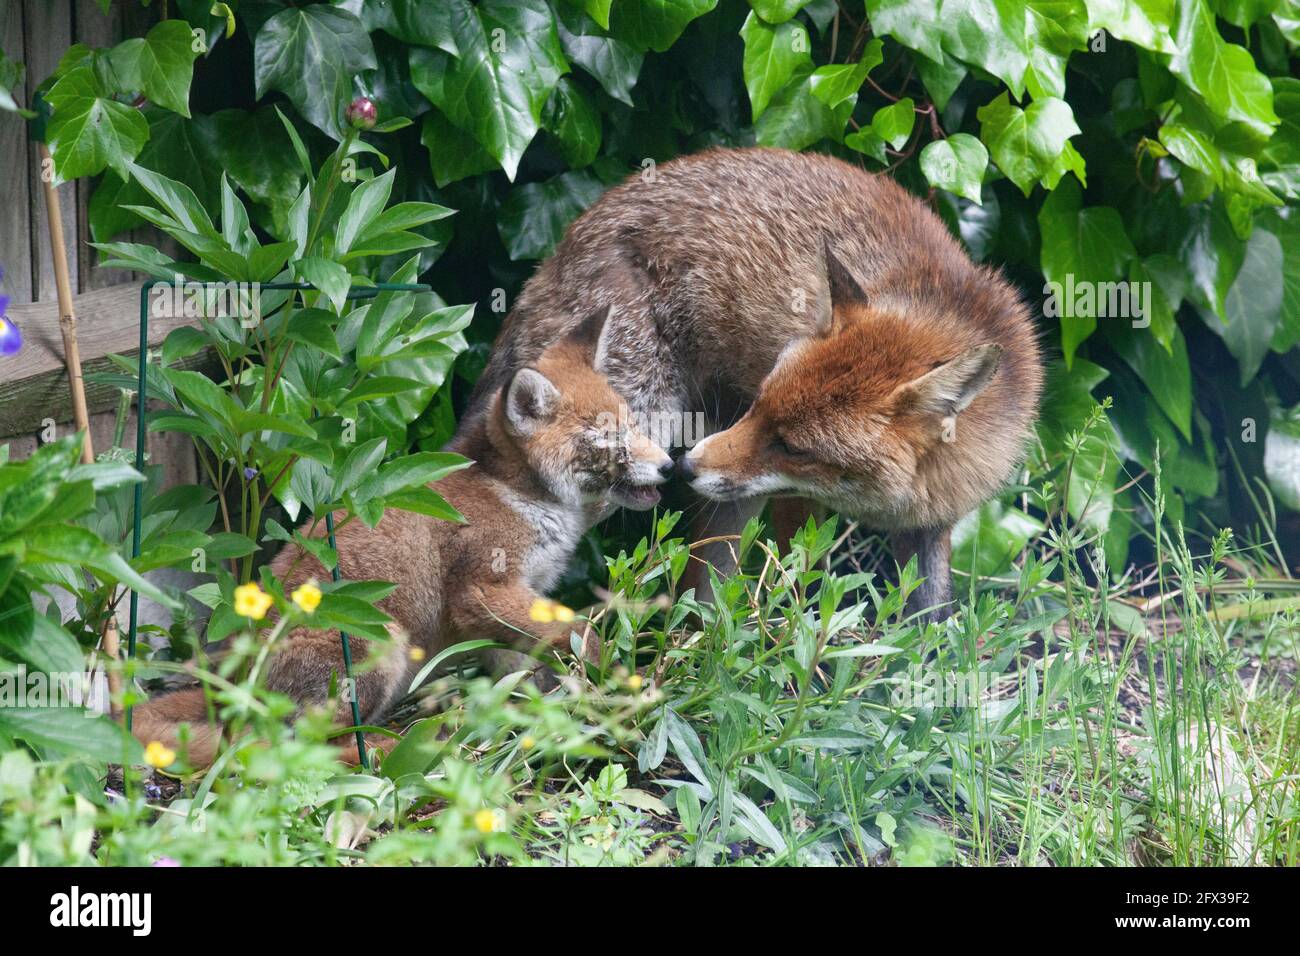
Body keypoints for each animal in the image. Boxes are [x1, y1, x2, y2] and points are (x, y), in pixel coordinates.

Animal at [131, 315, 673, 766]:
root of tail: (234, 679)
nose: (671, 467)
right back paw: (397, 750)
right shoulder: (482, 590)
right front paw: (613, 683)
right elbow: (580, 627)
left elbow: (518, 666)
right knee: (295, 744)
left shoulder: (517, 601)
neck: (518, 494)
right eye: (608, 438)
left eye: (632, 423)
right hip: (381, 644)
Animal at [468, 147, 1043, 616]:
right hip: (627, 451)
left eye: (792, 446)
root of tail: (570, 235)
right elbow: (804, 598)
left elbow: (930, 621)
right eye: (760, 403)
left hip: (719, 495)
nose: (686, 467)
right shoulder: (797, 504)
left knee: (699, 596)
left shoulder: (931, 522)